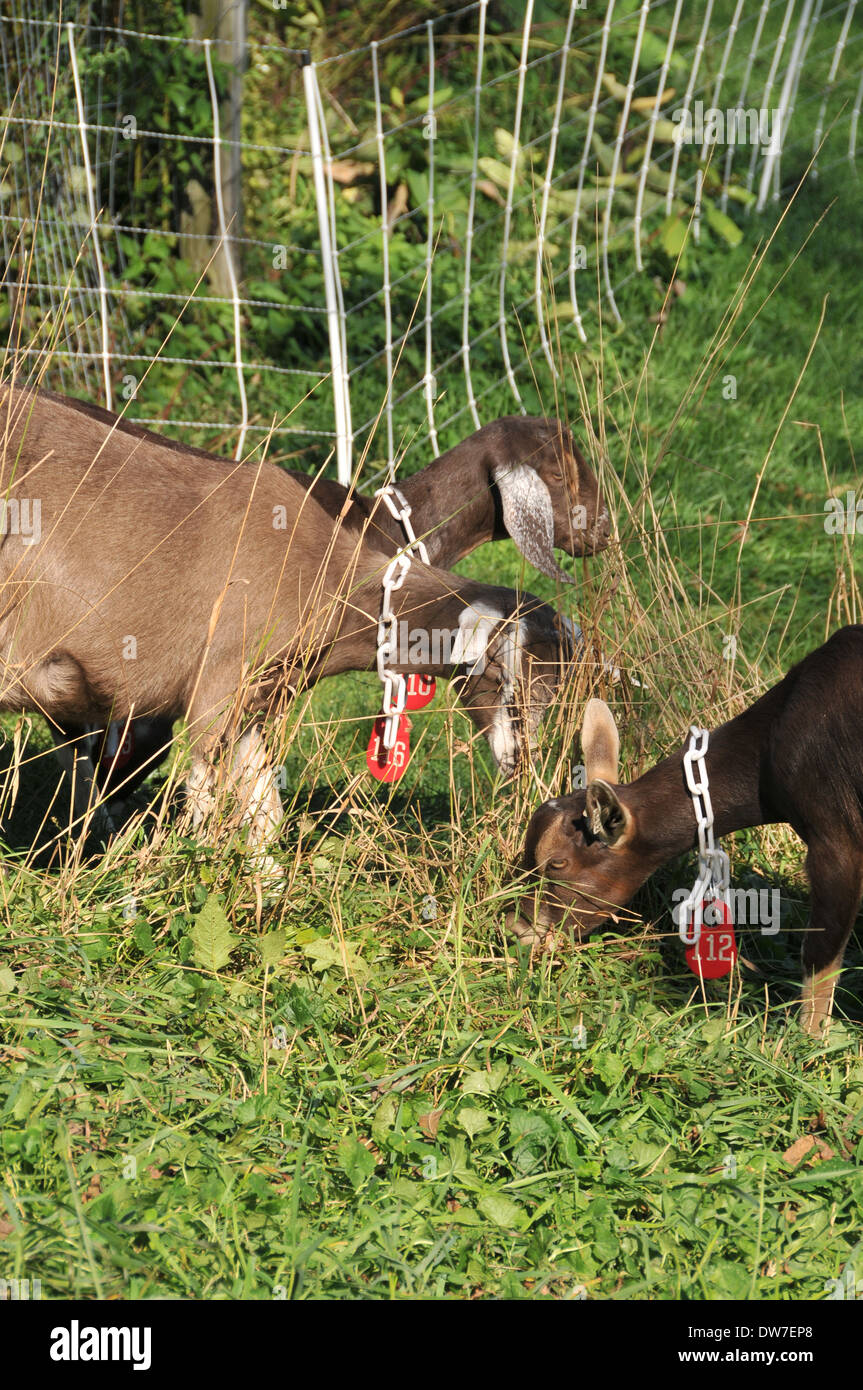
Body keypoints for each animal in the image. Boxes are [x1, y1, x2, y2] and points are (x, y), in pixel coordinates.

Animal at [0, 382, 576, 857]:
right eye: (502, 672)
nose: (523, 763)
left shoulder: (261, 695)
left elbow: (262, 808)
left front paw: (266, 883)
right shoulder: (217, 687)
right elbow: (206, 804)